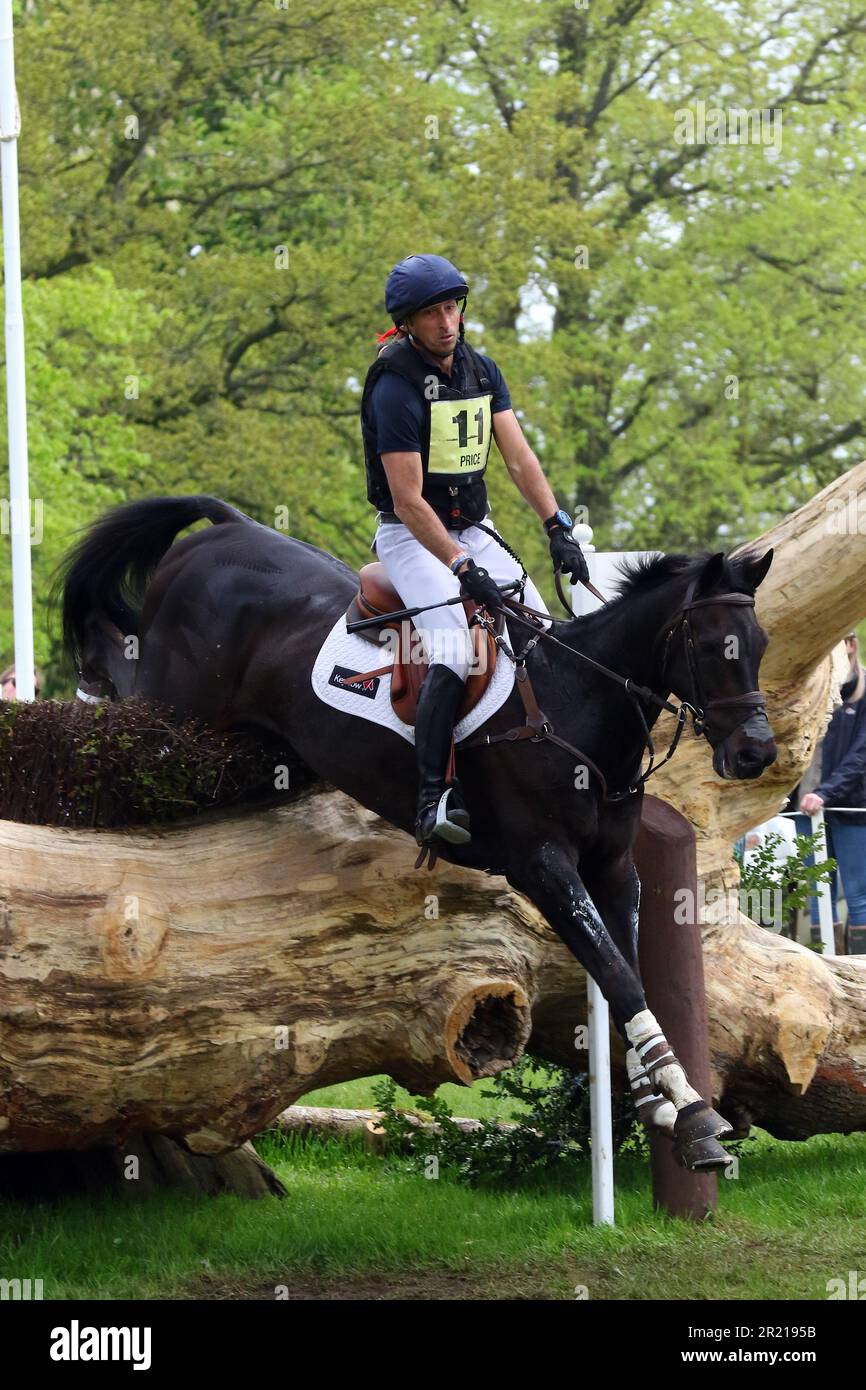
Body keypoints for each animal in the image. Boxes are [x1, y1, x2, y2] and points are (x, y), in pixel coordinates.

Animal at [55, 494, 777, 1169]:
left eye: (761, 646)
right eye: (711, 647)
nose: (756, 754)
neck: (578, 702)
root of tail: (224, 529)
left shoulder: (612, 867)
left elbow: (627, 974)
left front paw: (661, 1100)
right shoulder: (542, 866)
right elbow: (618, 976)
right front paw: (690, 1111)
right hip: (173, 710)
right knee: (116, 718)